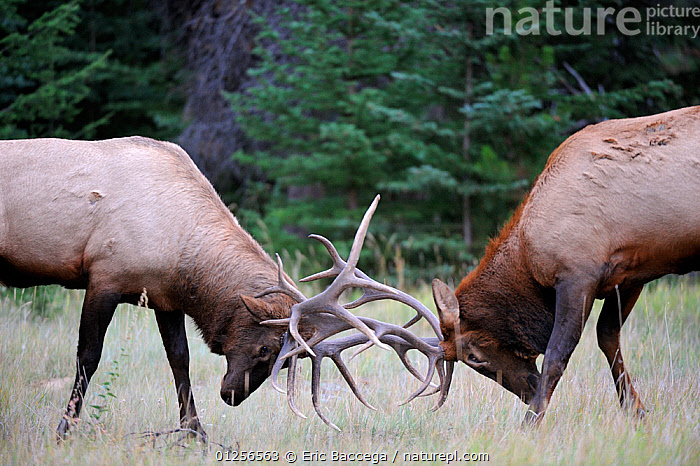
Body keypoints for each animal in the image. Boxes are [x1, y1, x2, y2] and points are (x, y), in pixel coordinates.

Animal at [0, 137, 448, 439]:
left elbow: (179, 361)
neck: (180, 250)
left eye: (287, 359)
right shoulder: (104, 278)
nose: (232, 395)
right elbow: (87, 359)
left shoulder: (164, 297)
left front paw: (196, 434)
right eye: (267, 348)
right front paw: (64, 430)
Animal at [429, 105, 700, 425]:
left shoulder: (578, 276)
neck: (527, 258)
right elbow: (608, 337)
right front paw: (636, 411)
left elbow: (556, 354)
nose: (528, 392)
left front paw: (530, 422)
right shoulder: (629, 275)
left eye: (473, 356)